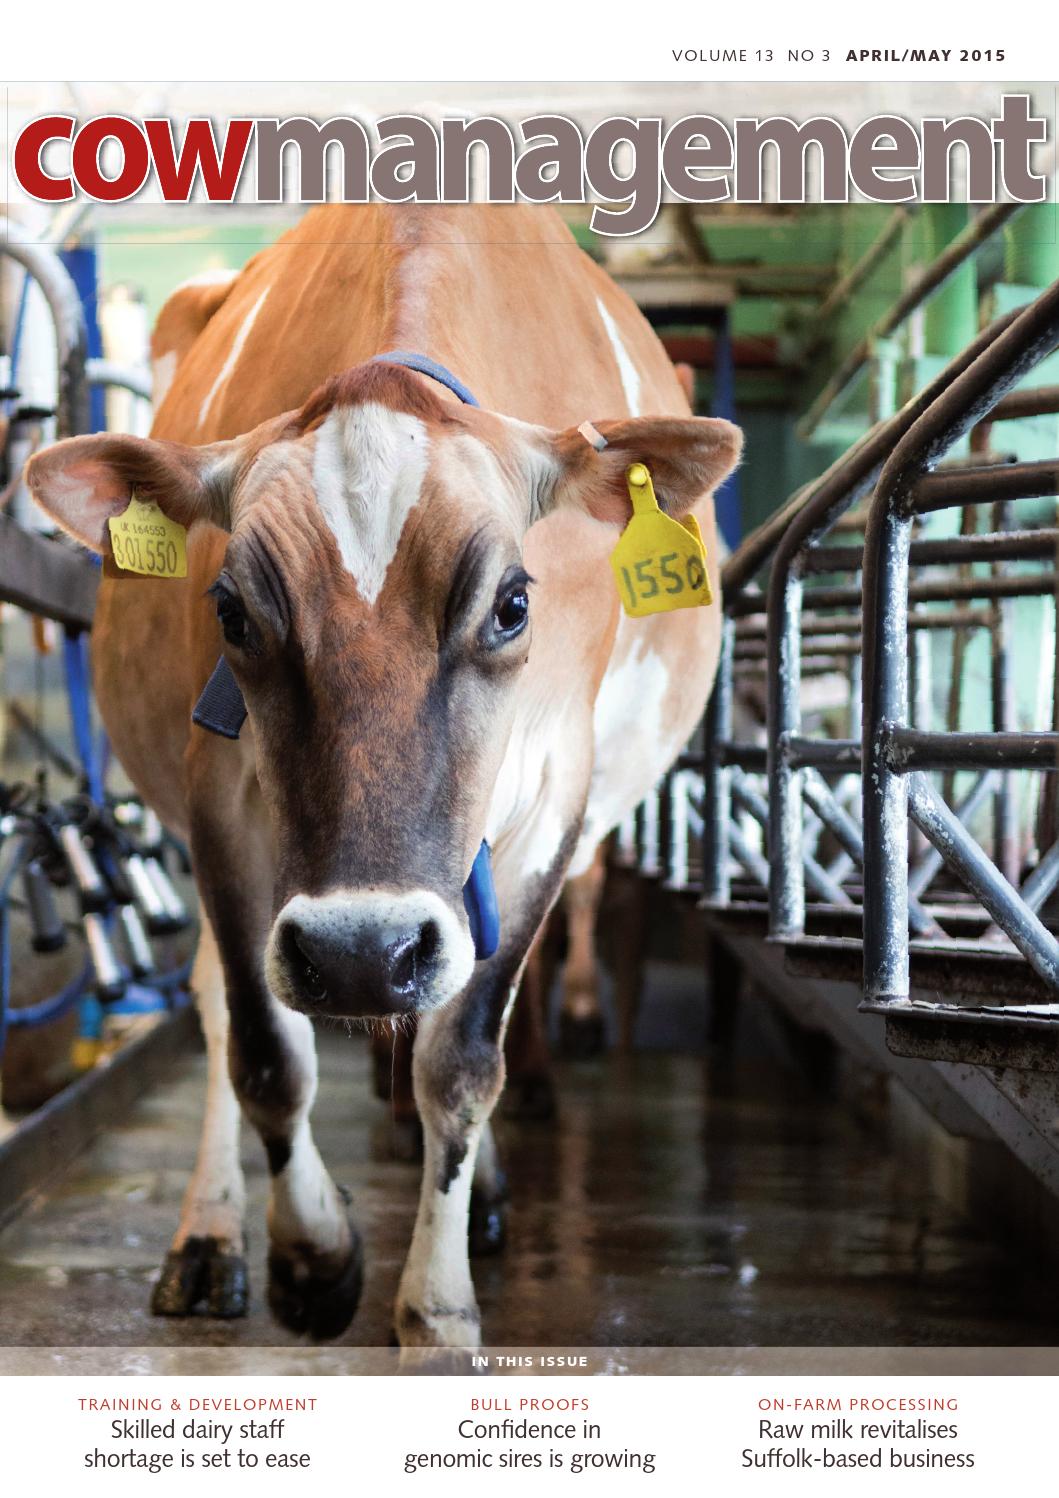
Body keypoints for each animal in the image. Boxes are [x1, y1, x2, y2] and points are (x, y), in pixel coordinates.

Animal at [26, 204, 740, 1348]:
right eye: (231, 611)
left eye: (513, 605)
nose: (360, 952)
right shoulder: (221, 799)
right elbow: (265, 1052)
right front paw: (313, 1258)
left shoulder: (557, 799)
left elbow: (465, 1058)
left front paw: (439, 1309)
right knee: (220, 1006)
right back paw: (208, 1236)